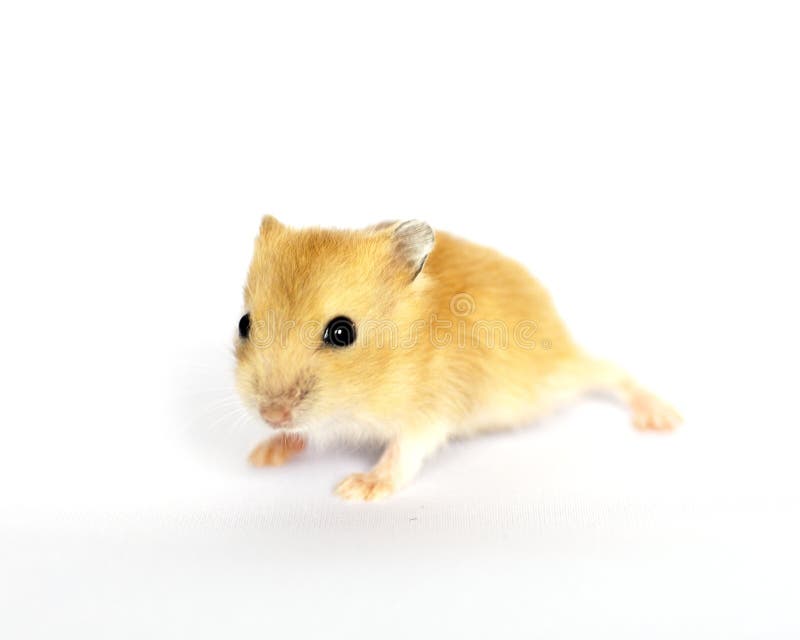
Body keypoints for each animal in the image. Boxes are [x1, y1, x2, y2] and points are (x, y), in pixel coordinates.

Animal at [235, 216, 681, 501]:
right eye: (244, 323)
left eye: (342, 332)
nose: (271, 415)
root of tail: (563, 334)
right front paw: (262, 456)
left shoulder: (433, 408)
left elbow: (403, 452)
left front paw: (357, 489)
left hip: (552, 380)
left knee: (613, 372)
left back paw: (661, 418)